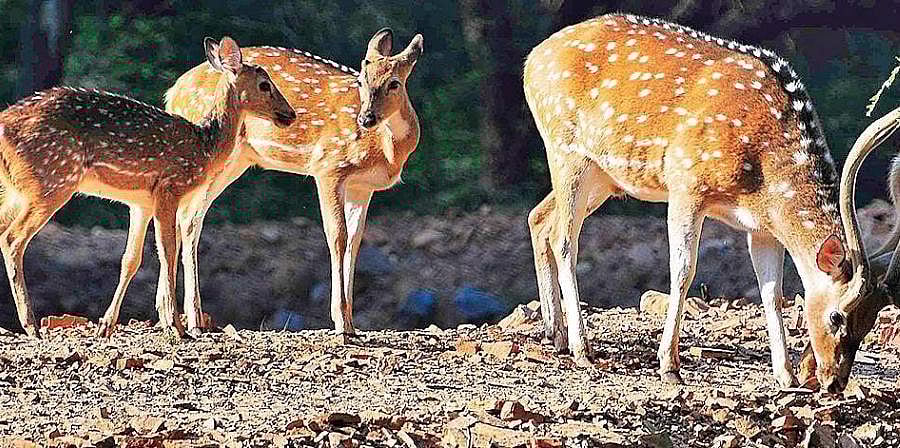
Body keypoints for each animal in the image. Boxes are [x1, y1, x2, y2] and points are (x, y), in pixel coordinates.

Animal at [0, 36, 296, 338]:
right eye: (265, 84)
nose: (290, 114)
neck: (204, 147)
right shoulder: (169, 188)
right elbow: (168, 253)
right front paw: (177, 326)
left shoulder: (140, 202)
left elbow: (131, 259)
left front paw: (106, 326)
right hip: (51, 180)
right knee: (12, 239)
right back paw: (31, 324)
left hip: (17, 189)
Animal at [94, 29, 423, 337]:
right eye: (362, 82)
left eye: (394, 83)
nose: (366, 118)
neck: (387, 150)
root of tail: (172, 92)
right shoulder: (328, 166)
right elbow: (337, 237)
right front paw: (341, 322)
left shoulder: (362, 187)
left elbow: (355, 243)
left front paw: (352, 322)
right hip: (218, 161)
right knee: (187, 220)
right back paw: (187, 319)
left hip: (235, 162)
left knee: (187, 221)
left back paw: (182, 317)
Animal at [523, 13, 886, 391]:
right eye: (836, 315)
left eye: (870, 321)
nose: (834, 382)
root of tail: (532, 59)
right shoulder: (686, 184)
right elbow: (683, 271)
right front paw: (669, 365)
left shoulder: (762, 227)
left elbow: (772, 291)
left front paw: (785, 375)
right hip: (567, 152)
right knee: (564, 239)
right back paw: (582, 348)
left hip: (603, 177)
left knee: (539, 219)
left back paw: (554, 333)